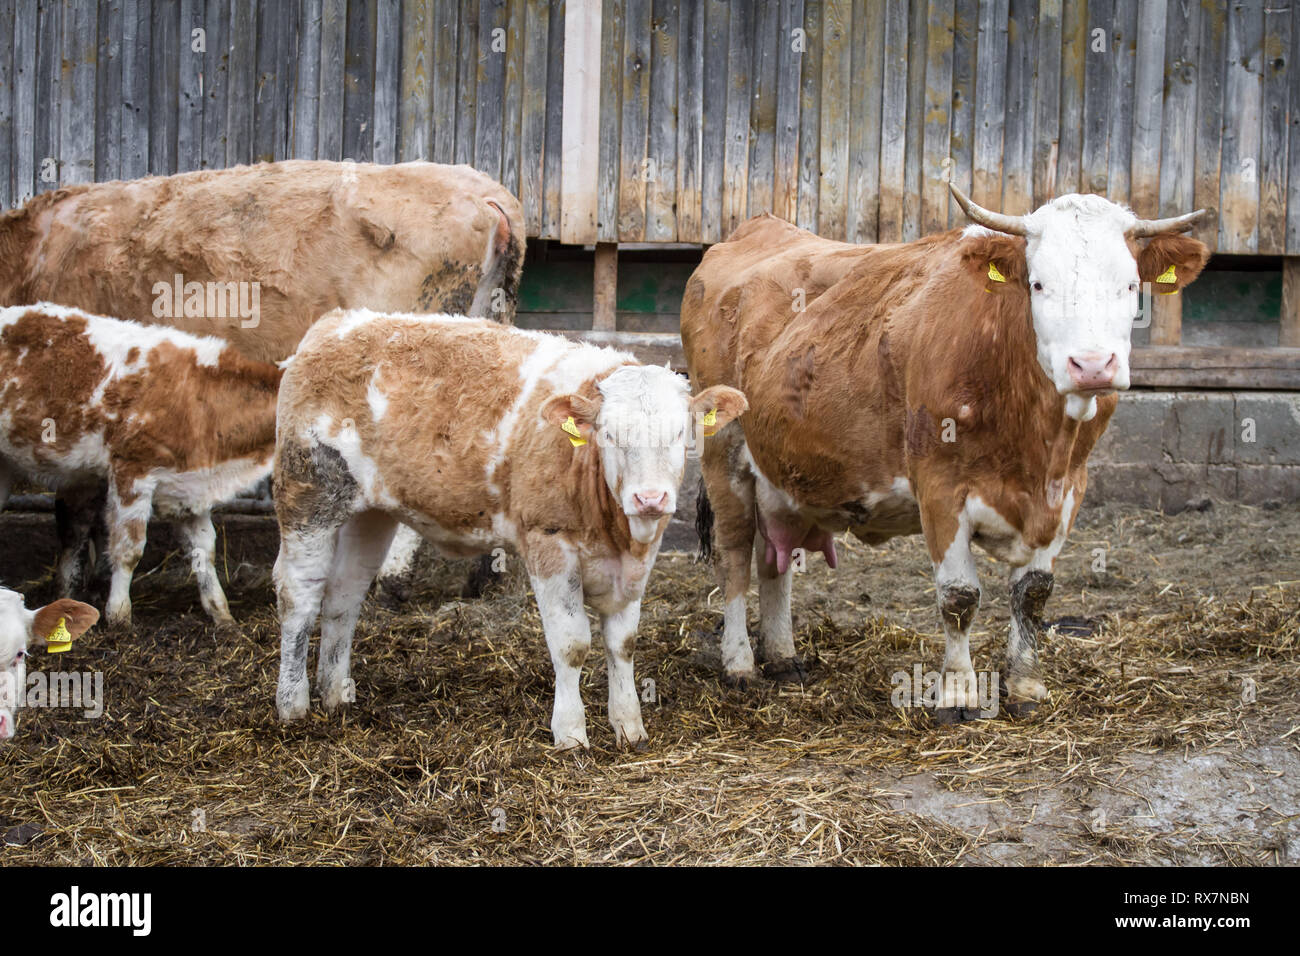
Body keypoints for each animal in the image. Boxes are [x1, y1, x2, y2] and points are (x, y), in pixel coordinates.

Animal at [0, 304, 282, 628]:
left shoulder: (190, 487)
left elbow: (205, 549)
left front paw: (221, 615)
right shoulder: (132, 473)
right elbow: (128, 550)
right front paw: (119, 616)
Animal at [272, 310, 747, 748]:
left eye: (681, 433)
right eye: (609, 434)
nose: (650, 498)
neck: (616, 534)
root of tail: (339, 321)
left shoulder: (637, 562)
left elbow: (623, 642)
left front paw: (629, 727)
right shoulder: (547, 541)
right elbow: (571, 643)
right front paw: (571, 734)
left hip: (370, 512)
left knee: (344, 596)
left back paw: (337, 695)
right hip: (308, 495)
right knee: (299, 595)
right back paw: (292, 705)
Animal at [682, 184, 1209, 718]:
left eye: (1130, 286)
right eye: (1038, 284)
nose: (1094, 365)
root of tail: (759, 226)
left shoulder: (1068, 489)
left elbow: (1033, 595)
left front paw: (1026, 686)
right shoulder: (940, 485)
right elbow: (960, 597)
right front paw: (957, 693)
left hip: (781, 473)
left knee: (776, 559)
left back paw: (783, 658)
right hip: (723, 455)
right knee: (734, 556)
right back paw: (740, 664)